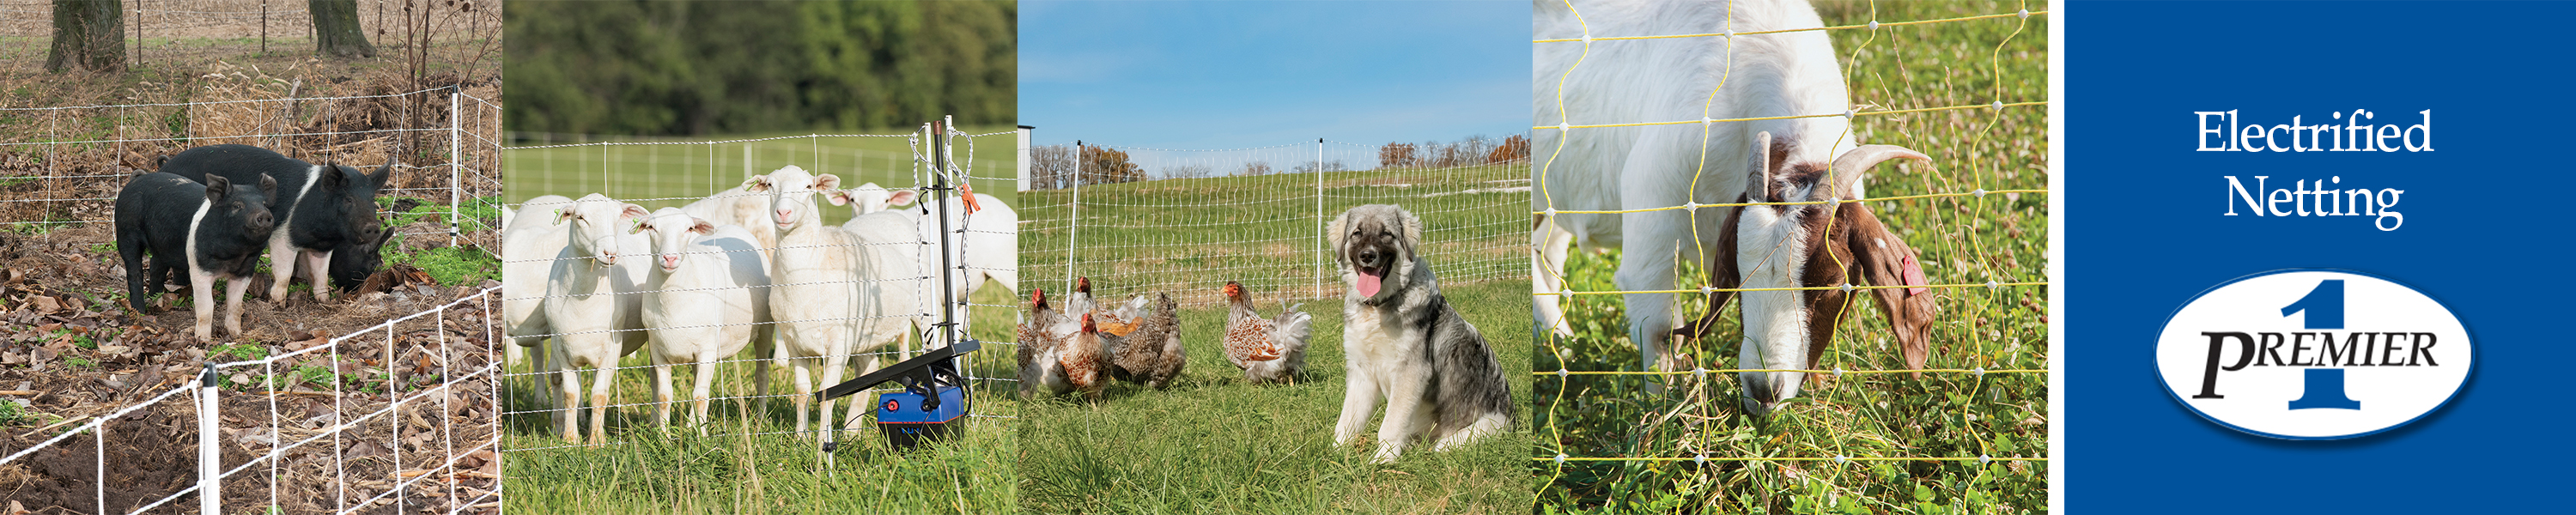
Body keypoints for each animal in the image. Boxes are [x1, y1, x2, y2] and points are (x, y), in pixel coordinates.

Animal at [540, 194, 656, 445]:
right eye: (580, 217)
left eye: (618, 218)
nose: (610, 253)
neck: (583, 299)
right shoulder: (562, 348)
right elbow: (570, 393)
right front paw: (570, 439)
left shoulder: (612, 350)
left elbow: (600, 395)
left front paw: (596, 442)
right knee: (556, 379)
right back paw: (561, 425)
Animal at [634, 207, 773, 433]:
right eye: (651, 227)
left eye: (689, 228)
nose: (670, 258)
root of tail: (732, 227)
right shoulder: (658, 350)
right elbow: (664, 396)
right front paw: (664, 435)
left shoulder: (707, 350)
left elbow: (700, 396)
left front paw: (701, 435)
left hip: (765, 330)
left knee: (761, 375)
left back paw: (760, 418)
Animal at [749, 166, 925, 461]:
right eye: (770, 185)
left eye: (809, 187)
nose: (783, 213)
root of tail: (890, 213)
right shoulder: (794, 342)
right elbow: (802, 391)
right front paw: (800, 439)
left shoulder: (839, 344)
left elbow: (826, 393)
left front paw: (822, 443)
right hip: (863, 336)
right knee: (870, 366)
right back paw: (852, 432)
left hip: (925, 310)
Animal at [1530, 0, 1935, 410]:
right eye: (1739, 278)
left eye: (1833, 284)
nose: (1764, 390)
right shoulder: (1654, 213)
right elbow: (1659, 328)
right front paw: (1661, 405)